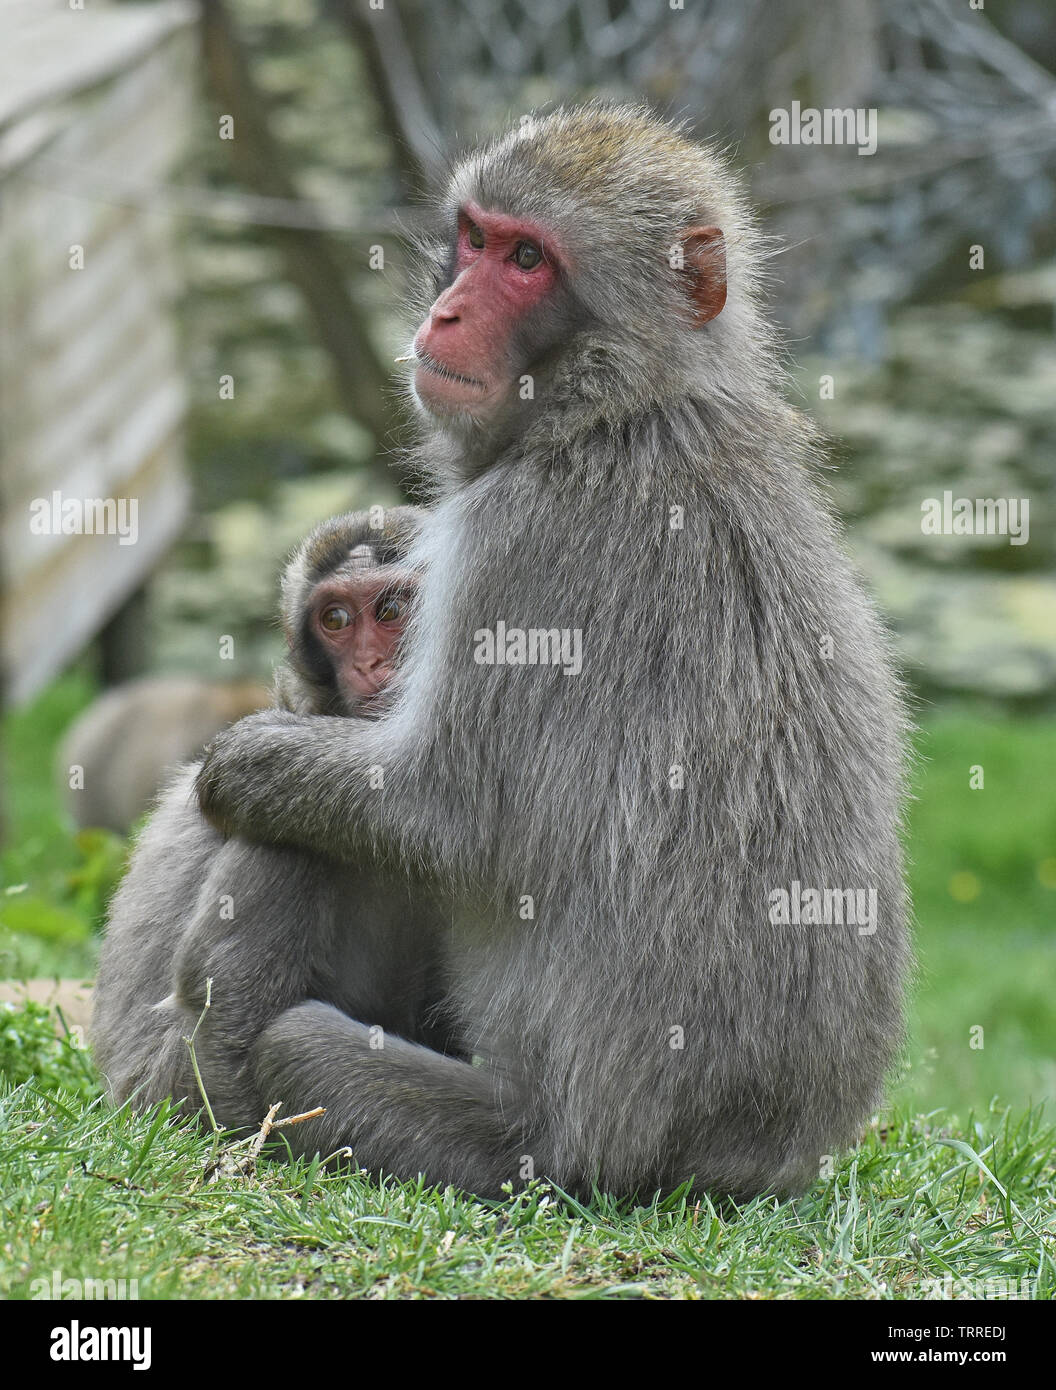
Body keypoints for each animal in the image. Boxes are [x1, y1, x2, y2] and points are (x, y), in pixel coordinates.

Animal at [91, 506, 458, 1132]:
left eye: (391, 610)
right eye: (336, 619)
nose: (369, 663)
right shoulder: (280, 818)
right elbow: (225, 1012)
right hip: (161, 1094)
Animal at [190, 103, 910, 1203]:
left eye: (529, 260)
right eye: (478, 239)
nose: (446, 314)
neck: (620, 404)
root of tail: (726, 1167)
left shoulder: (519, 544)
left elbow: (447, 812)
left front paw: (245, 763)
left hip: (532, 1152)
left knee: (298, 1049)